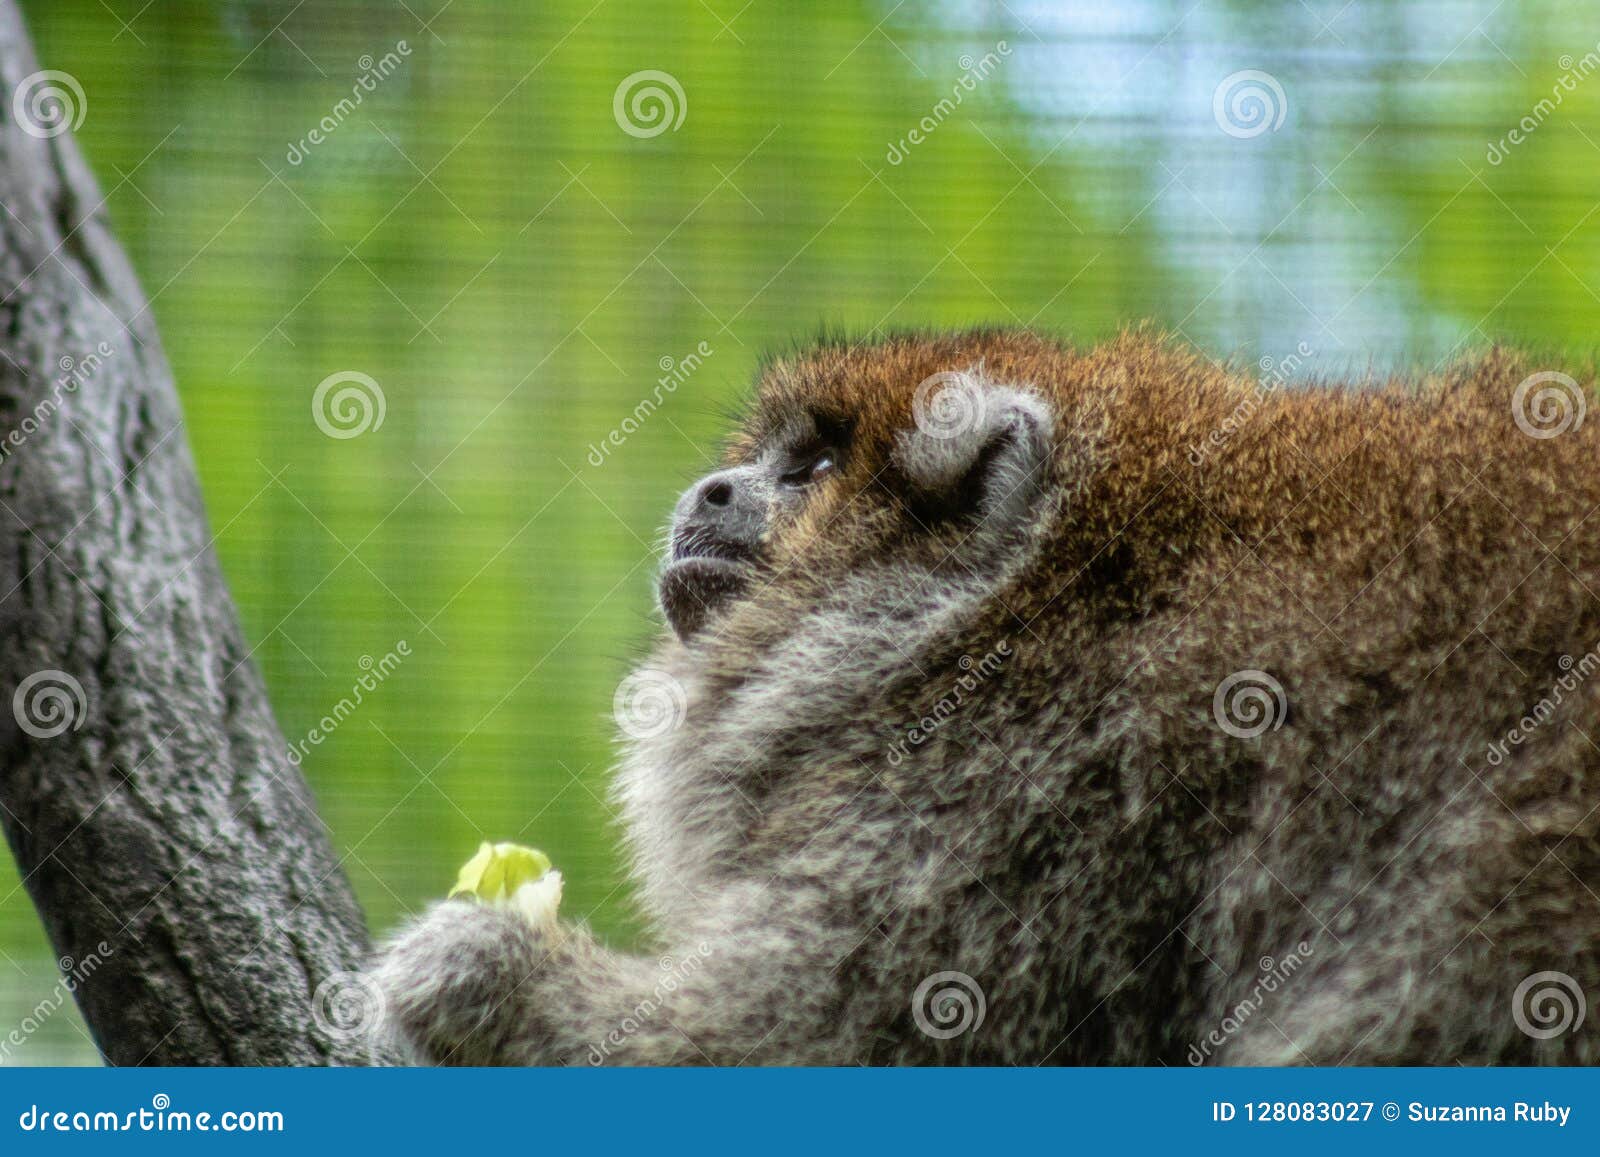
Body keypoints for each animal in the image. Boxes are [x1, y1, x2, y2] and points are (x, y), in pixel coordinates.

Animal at [373, 328, 1600, 1065]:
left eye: (813, 471)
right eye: (762, 461)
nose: (709, 490)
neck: (1033, 598)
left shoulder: (1023, 788)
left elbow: (842, 1031)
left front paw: (500, 986)